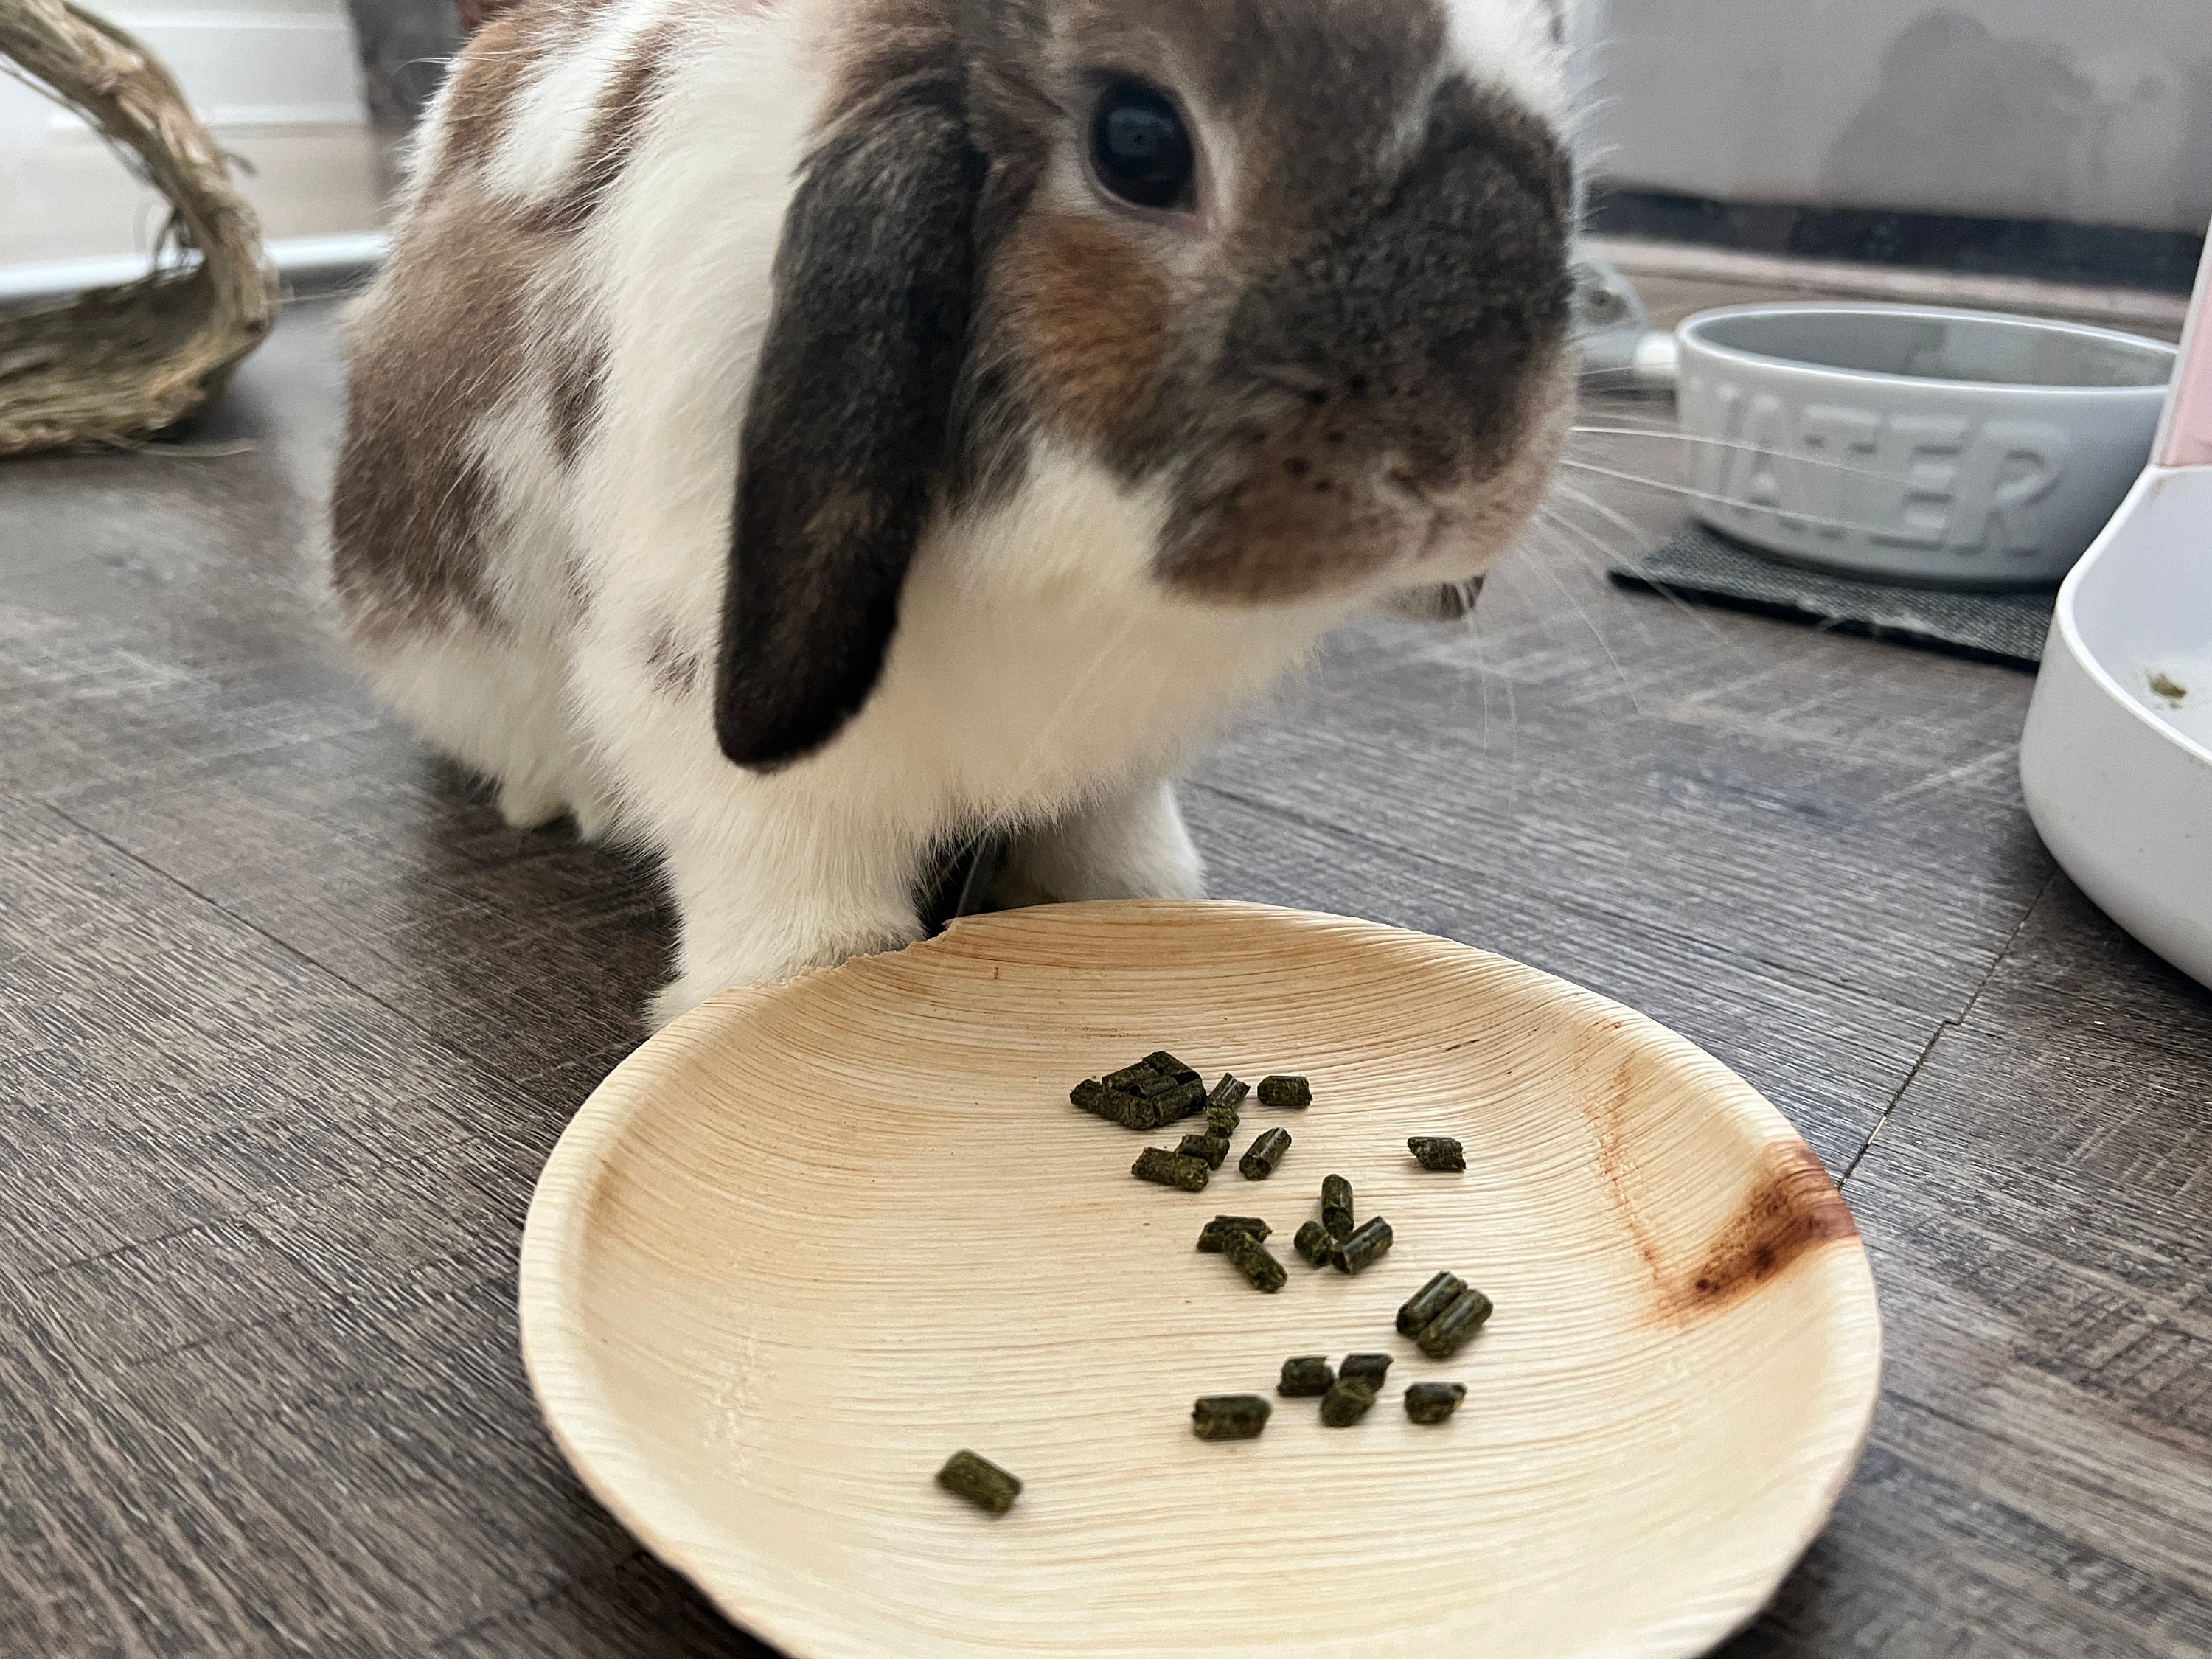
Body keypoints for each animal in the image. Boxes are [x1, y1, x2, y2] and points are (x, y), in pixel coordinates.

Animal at [330, 0, 1581, 1029]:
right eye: (1138, 144)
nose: (1463, 463)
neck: (1082, 572)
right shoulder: (715, 715)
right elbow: (786, 879)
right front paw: (786, 981)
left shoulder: (1121, 750)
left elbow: (1112, 830)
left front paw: (1134, 898)